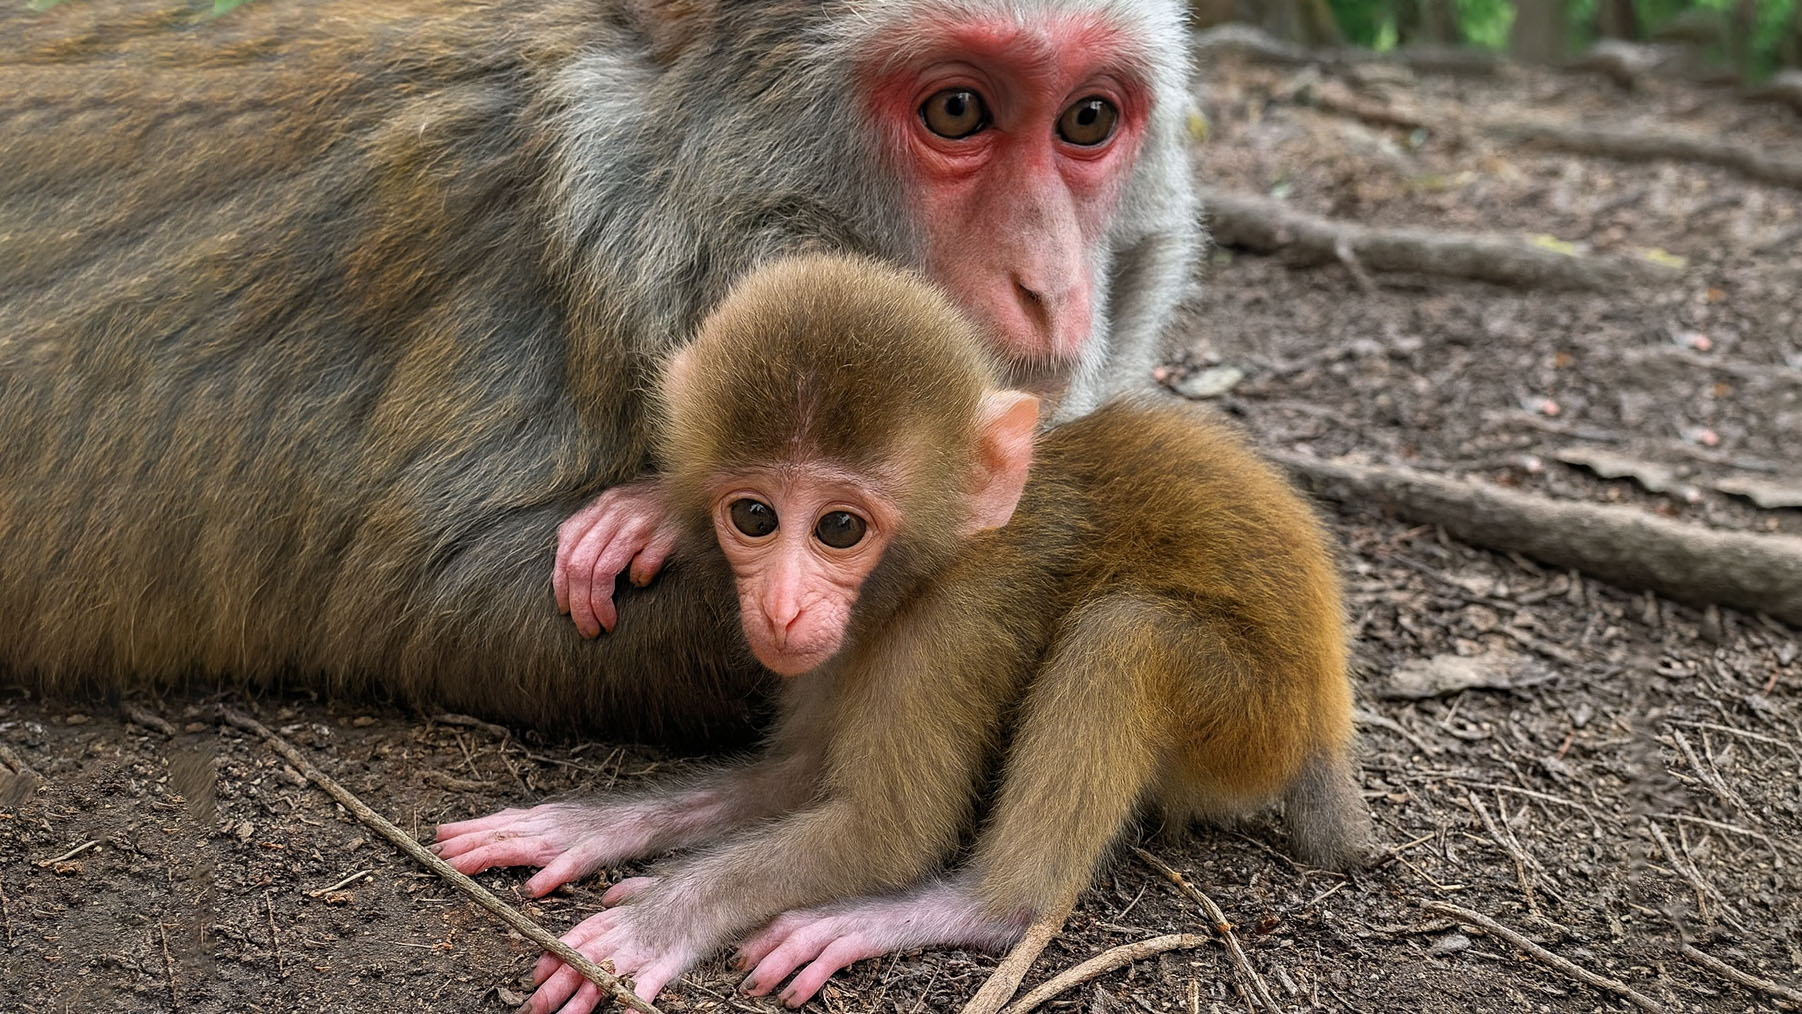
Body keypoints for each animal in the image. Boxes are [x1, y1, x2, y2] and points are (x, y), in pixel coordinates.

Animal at [432, 254, 1370, 1011]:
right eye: (754, 517)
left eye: (840, 529)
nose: (781, 605)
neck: (936, 558)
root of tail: (1324, 719)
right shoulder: (827, 649)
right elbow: (798, 775)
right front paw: (586, 829)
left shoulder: (955, 625)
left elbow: (887, 829)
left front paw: (662, 920)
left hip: (1248, 724)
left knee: (1123, 636)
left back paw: (970, 910)